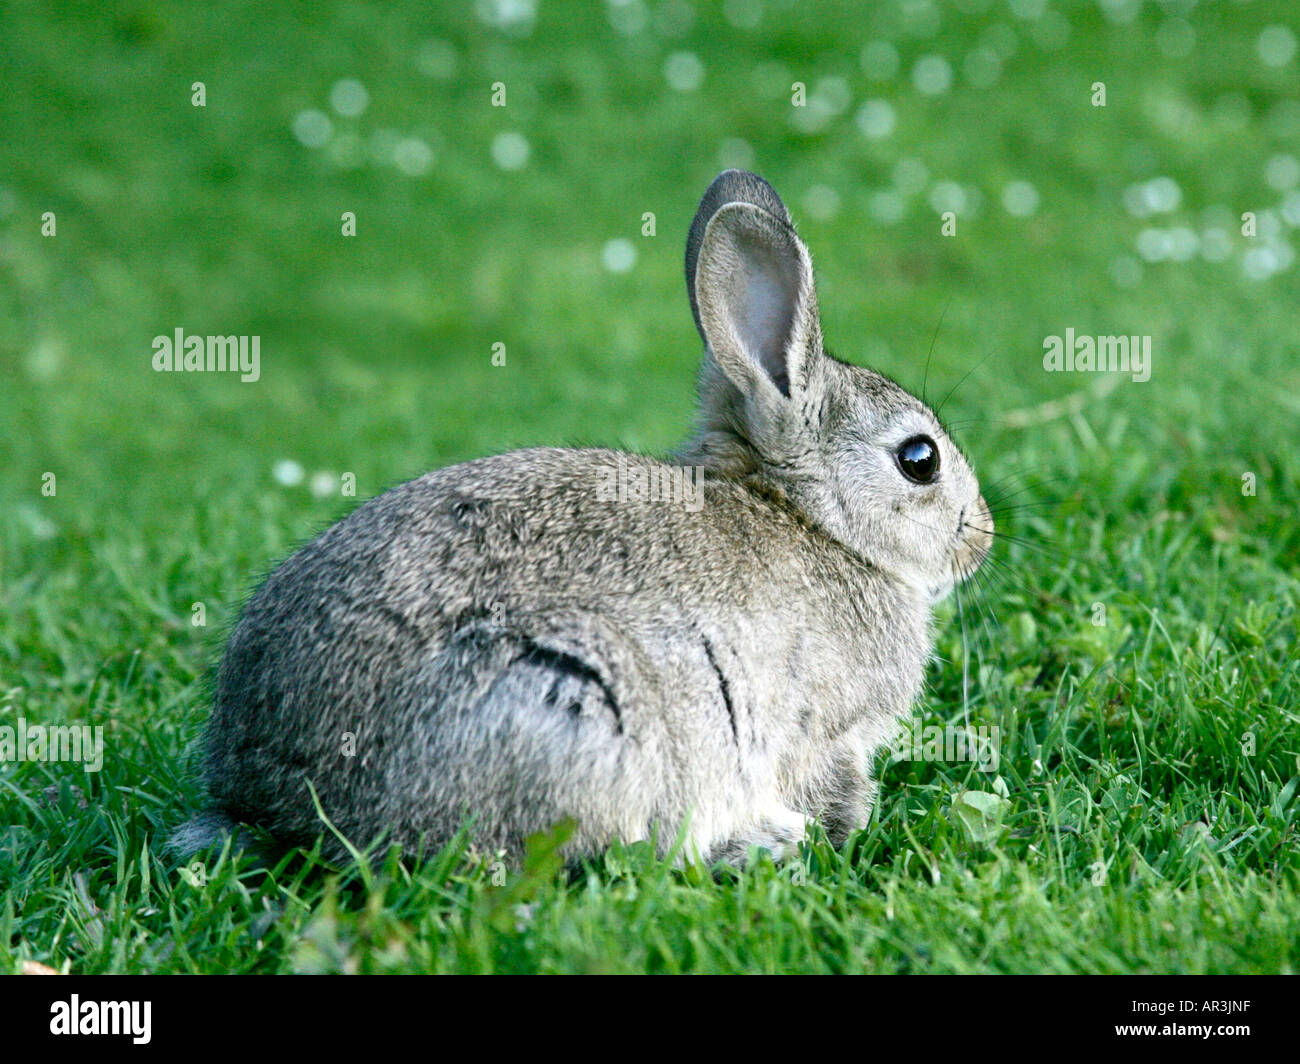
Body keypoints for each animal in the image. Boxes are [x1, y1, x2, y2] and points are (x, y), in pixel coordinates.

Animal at [172, 169, 993, 867]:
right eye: (920, 458)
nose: (981, 538)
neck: (810, 519)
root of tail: (272, 800)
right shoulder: (826, 733)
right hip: (571, 702)